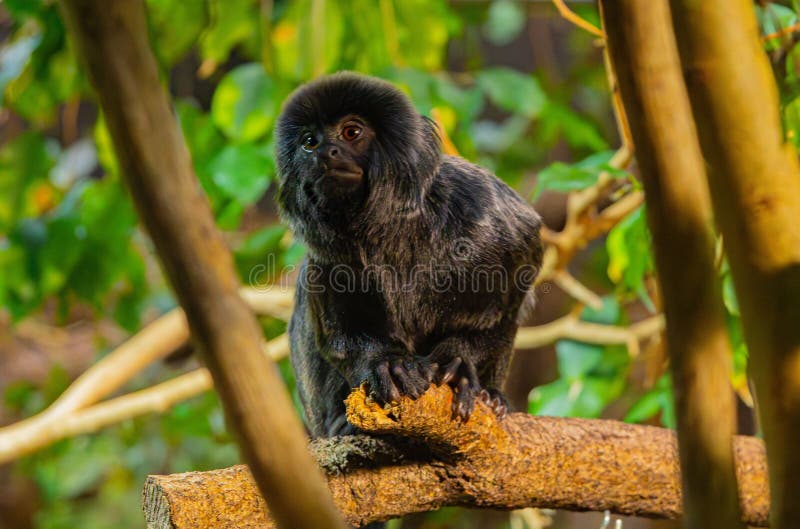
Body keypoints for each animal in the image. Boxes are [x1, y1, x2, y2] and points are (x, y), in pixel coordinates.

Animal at [275, 72, 543, 440]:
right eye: (309, 142)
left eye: (351, 132)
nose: (324, 154)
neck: (393, 231)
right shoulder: (325, 255)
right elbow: (337, 338)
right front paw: (387, 363)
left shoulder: (483, 207)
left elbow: (518, 281)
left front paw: (458, 359)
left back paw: (493, 396)